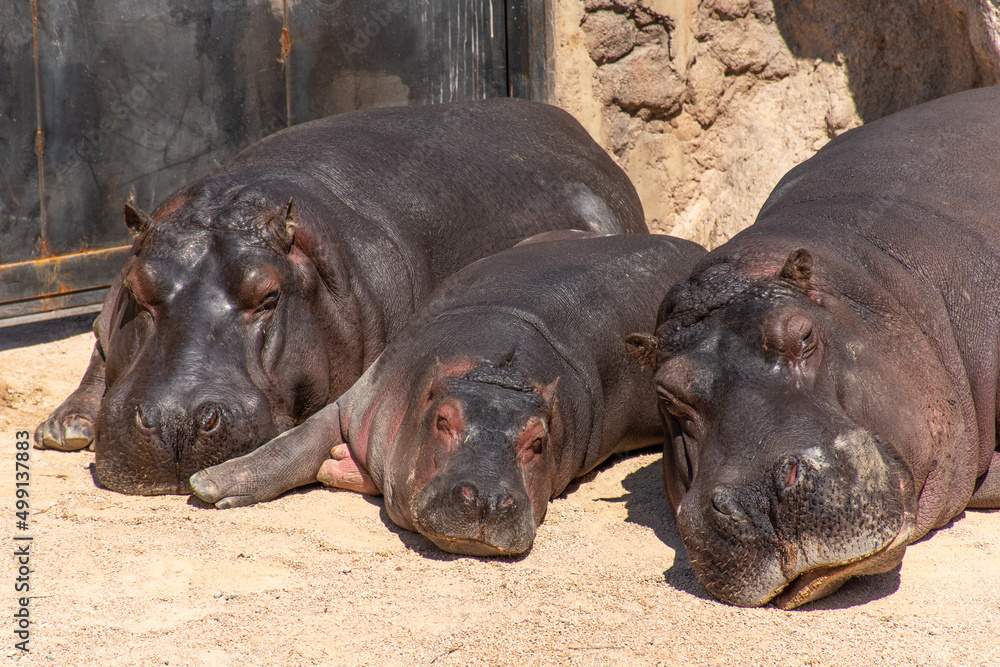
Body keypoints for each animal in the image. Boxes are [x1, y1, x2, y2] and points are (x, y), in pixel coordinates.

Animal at [35, 99, 648, 495]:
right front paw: (63, 429)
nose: (174, 423)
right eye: (140, 288)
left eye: (268, 295)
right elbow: (99, 343)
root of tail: (587, 140)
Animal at [190, 233, 706, 555]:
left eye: (538, 442)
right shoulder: (359, 397)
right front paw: (210, 485)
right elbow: (294, 445)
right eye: (443, 421)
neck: (496, 370)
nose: (487, 500)